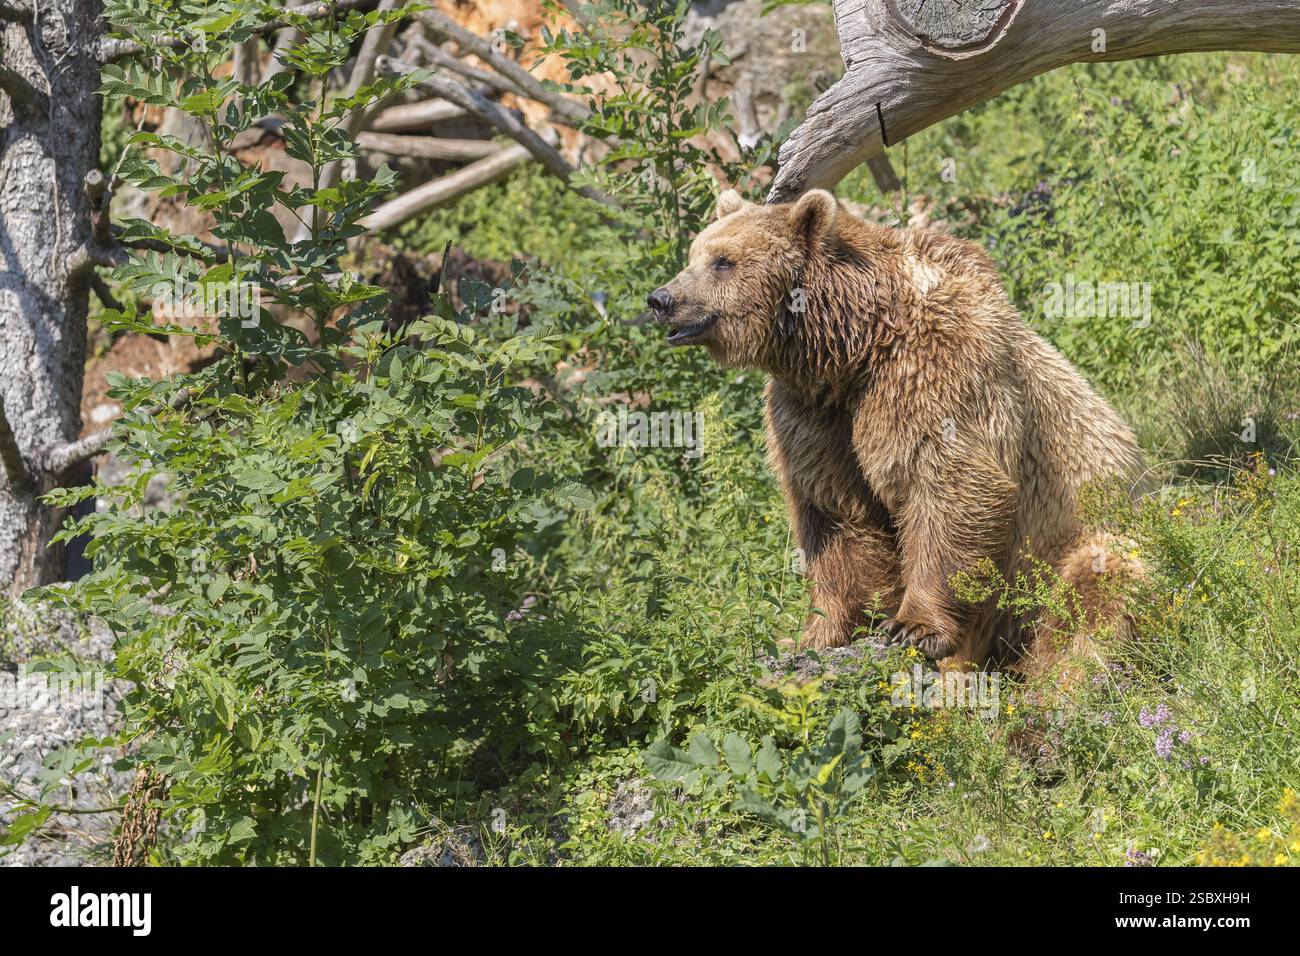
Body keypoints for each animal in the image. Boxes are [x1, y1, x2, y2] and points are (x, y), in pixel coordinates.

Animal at [646, 188, 1148, 673]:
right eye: (693, 253)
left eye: (723, 260)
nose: (661, 299)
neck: (855, 345)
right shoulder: (815, 415)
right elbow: (837, 515)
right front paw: (817, 633)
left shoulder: (935, 367)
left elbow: (949, 482)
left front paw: (915, 627)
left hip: (1079, 545)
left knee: (1091, 600)